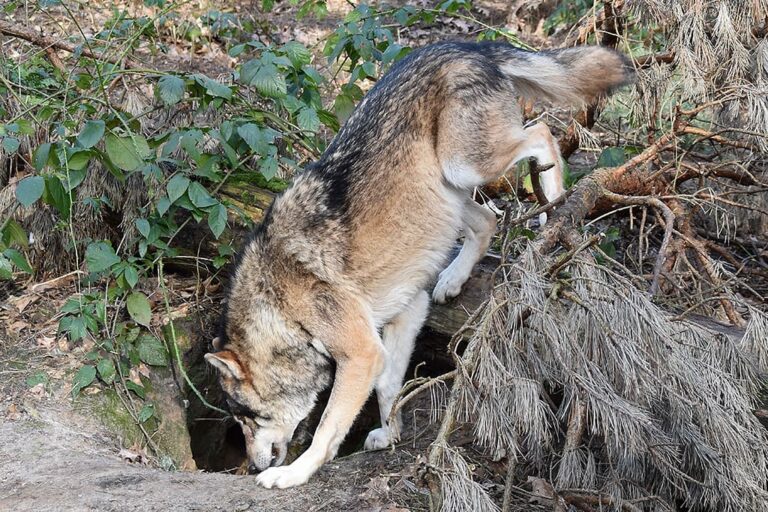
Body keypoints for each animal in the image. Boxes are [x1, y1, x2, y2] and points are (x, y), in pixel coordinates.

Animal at [204, 41, 633, 489]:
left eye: (246, 417)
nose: (253, 465)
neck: (279, 301)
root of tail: (463, 46)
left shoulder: (361, 354)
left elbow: (327, 427)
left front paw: (293, 474)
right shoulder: (405, 313)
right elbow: (389, 387)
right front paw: (390, 432)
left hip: (466, 164)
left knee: (543, 134)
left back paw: (554, 207)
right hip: (447, 193)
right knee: (488, 219)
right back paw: (453, 279)